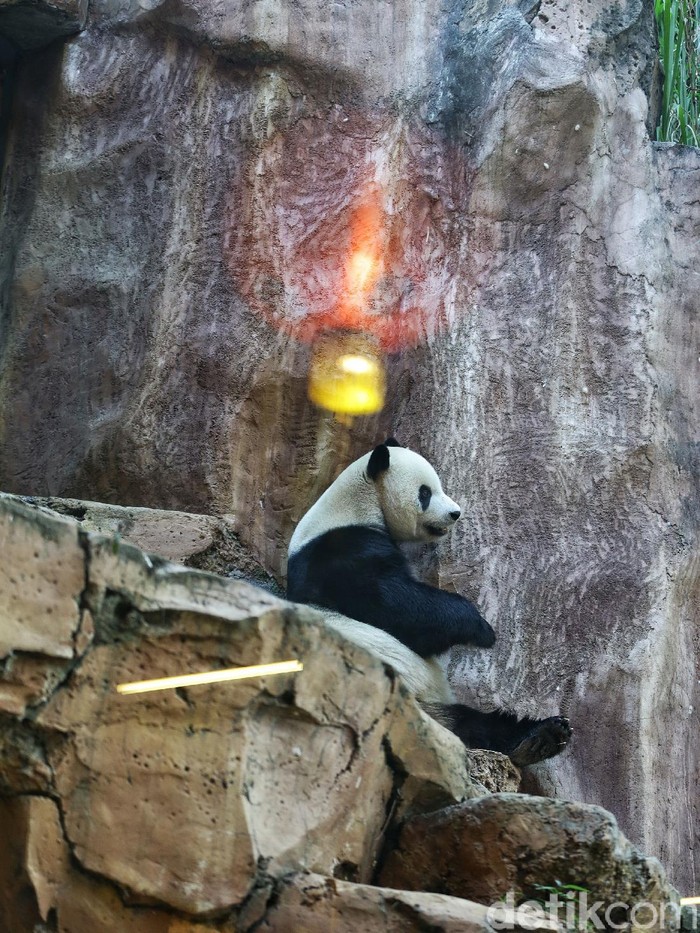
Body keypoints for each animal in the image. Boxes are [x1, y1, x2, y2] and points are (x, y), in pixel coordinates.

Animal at [287, 438, 572, 767]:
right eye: (425, 493)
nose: (455, 513)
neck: (354, 503)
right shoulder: (343, 554)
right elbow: (399, 606)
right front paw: (481, 628)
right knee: (469, 723)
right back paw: (531, 739)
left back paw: (544, 737)